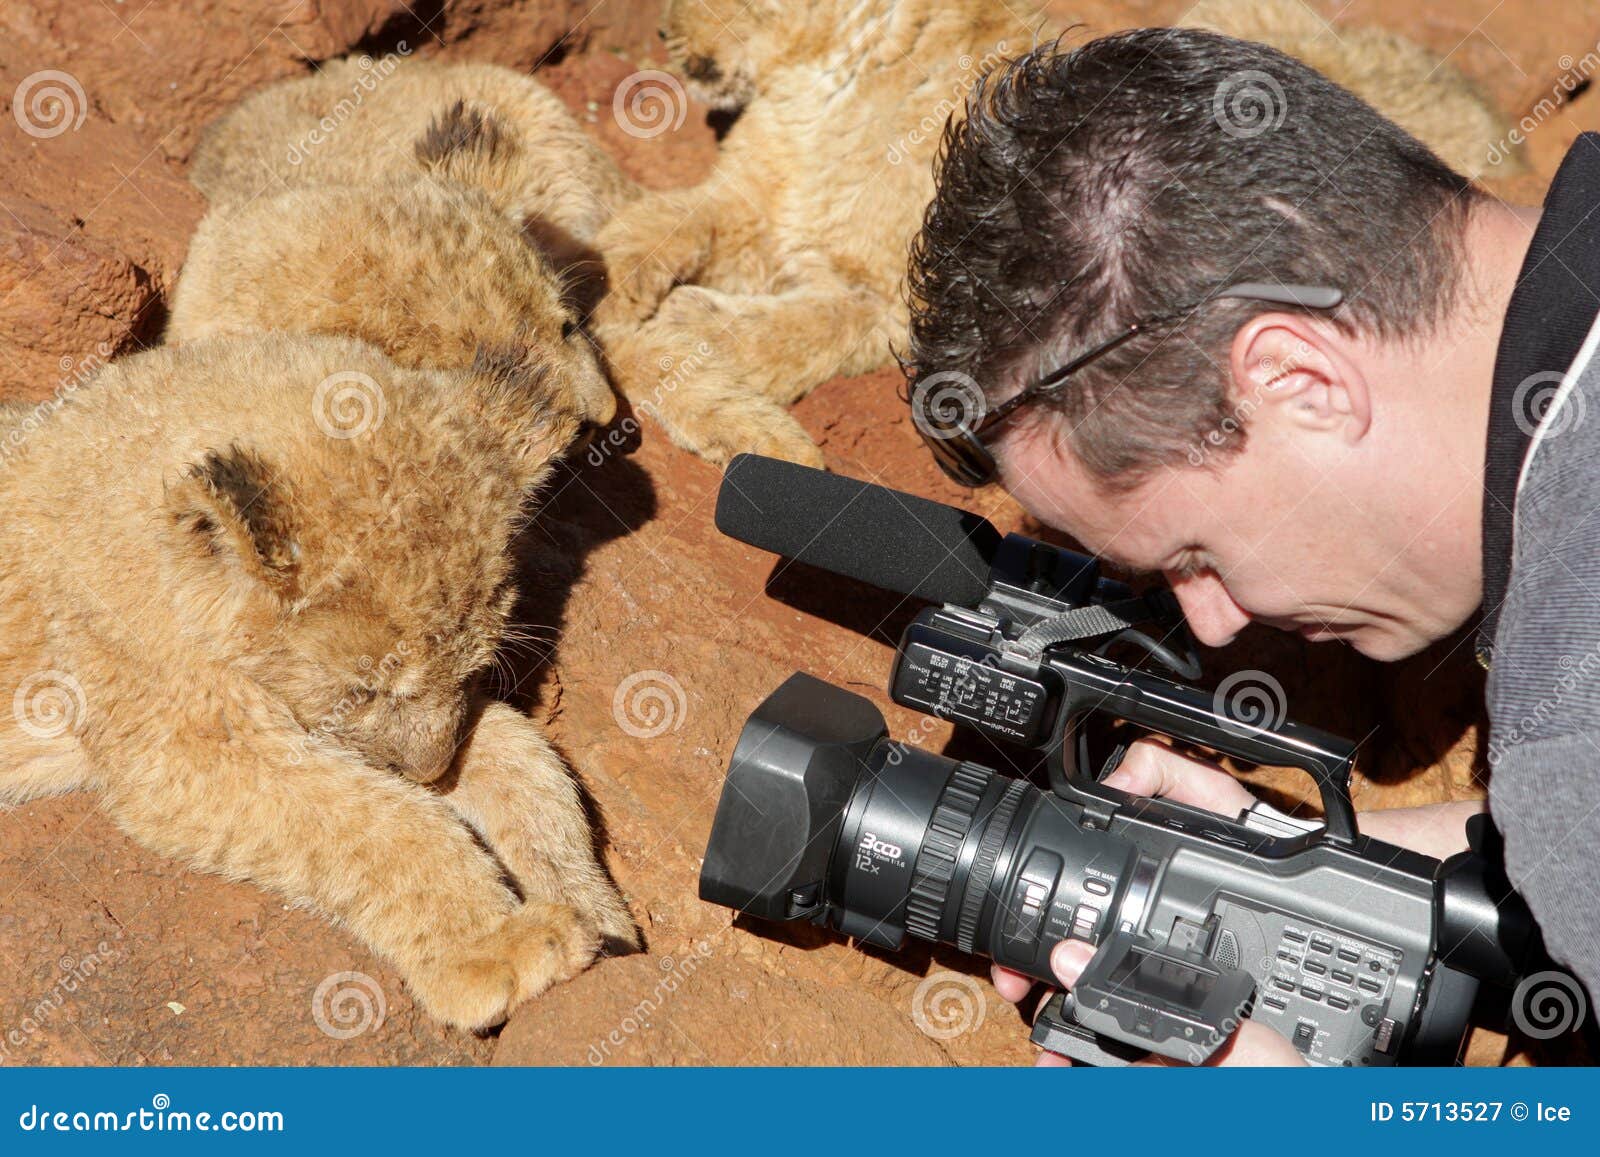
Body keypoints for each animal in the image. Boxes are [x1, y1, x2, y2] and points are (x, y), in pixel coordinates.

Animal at [0, 333, 639, 1030]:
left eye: (475, 664)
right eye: (362, 691)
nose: (433, 774)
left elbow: (521, 756)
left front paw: (596, 911)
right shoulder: (185, 753)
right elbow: (388, 823)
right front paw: (497, 951)